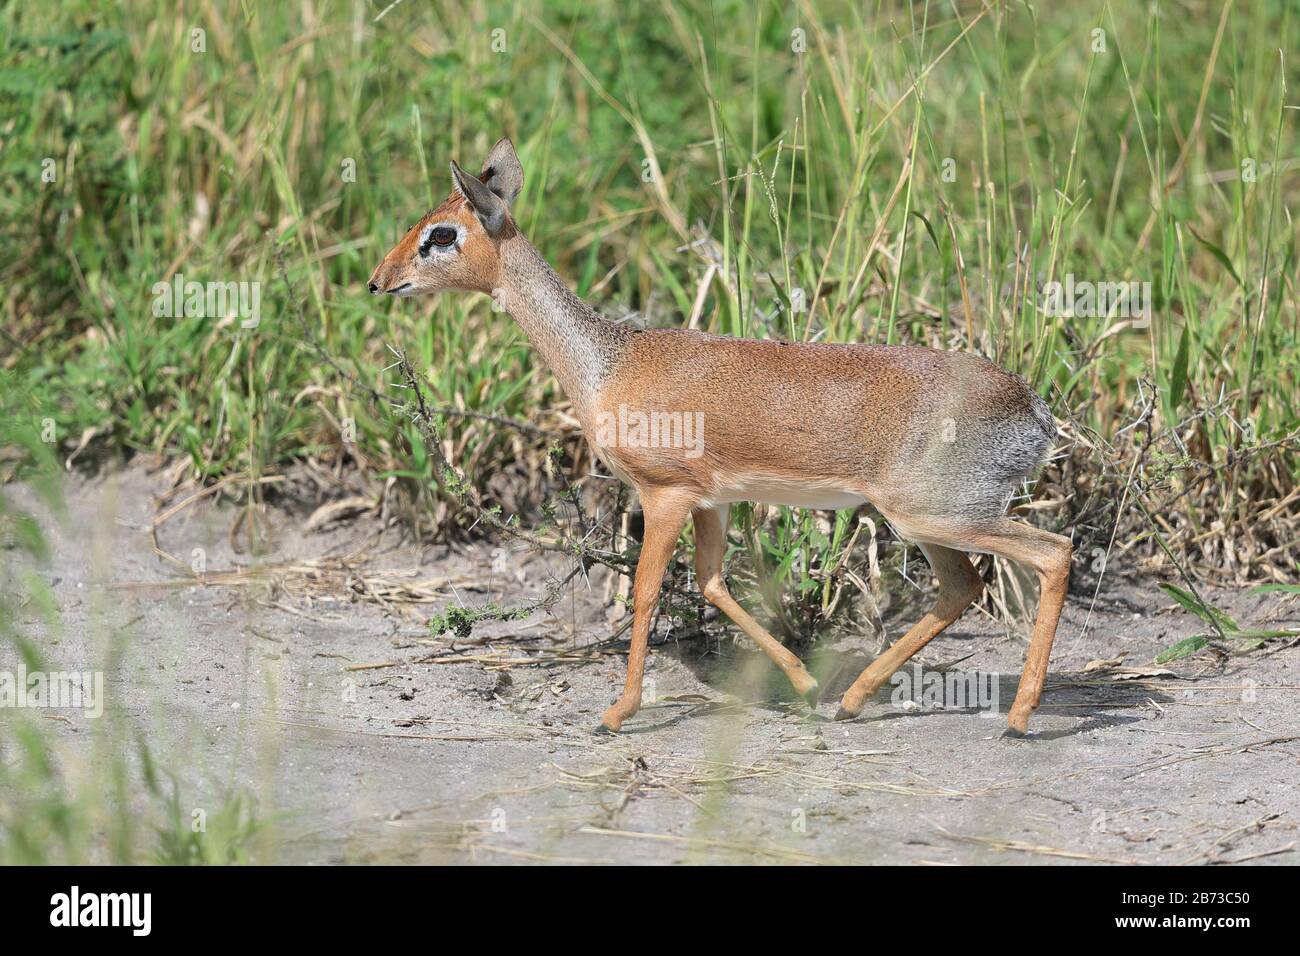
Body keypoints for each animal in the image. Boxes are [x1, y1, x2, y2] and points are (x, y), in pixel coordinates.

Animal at [369, 137, 1072, 736]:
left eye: (441, 233)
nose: (380, 280)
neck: (608, 364)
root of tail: (1034, 411)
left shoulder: (664, 494)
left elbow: (646, 592)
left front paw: (617, 712)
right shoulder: (712, 500)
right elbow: (711, 582)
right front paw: (800, 681)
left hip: (939, 515)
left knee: (1053, 553)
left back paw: (1018, 718)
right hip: (929, 522)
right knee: (962, 589)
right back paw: (849, 701)